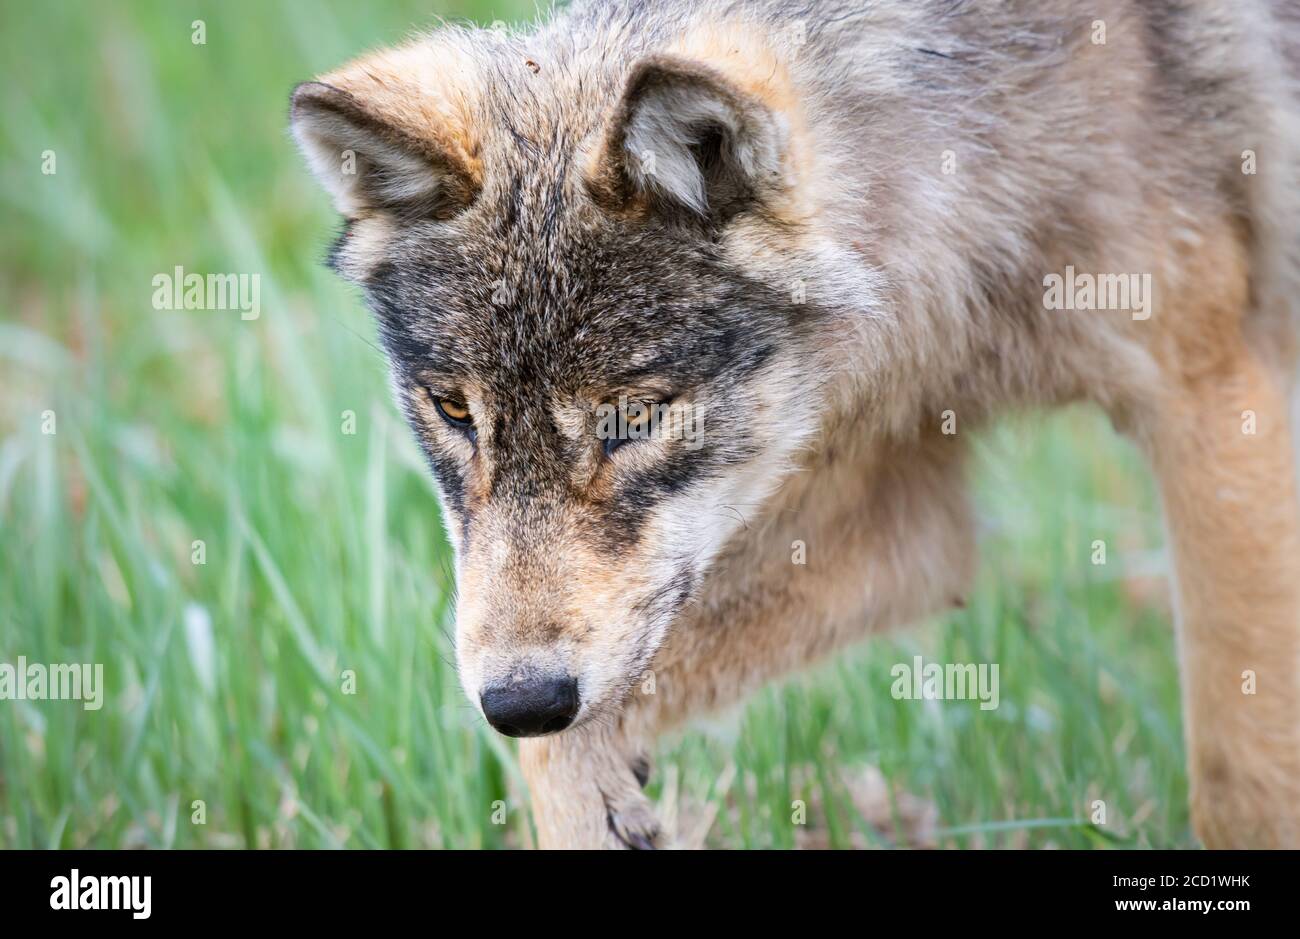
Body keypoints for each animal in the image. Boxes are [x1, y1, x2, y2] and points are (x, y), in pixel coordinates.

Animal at [290, 0, 1300, 848]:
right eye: (455, 409)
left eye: (635, 414)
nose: (521, 696)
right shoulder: (900, 518)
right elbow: (563, 747)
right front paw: (590, 798)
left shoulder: (1213, 398)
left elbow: (1241, 779)